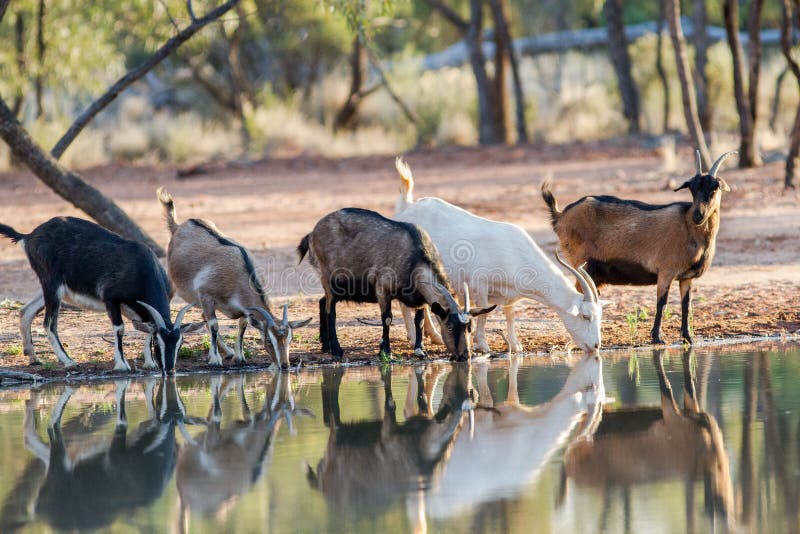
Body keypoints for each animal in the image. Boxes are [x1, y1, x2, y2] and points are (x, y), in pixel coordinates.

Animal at [0, 217, 202, 373]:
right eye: (158, 343)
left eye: (180, 342)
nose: (169, 370)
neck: (140, 267)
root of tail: (29, 236)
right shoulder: (111, 299)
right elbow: (120, 328)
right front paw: (122, 365)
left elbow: (144, 327)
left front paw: (149, 363)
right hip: (53, 287)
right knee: (49, 323)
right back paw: (69, 362)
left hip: (50, 289)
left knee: (25, 311)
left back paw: (33, 358)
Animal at [158, 188, 311, 369]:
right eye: (268, 339)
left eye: (290, 339)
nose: (285, 365)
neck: (238, 275)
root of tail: (177, 227)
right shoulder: (206, 295)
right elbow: (214, 325)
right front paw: (215, 359)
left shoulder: (242, 309)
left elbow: (242, 325)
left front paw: (239, 356)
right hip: (173, 286)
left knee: (202, 316)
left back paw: (229, 352)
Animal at [297, 208, 495, 361]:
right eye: (450, 327)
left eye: (469, 328)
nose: (465, 356)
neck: (415, 259)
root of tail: (312, 233)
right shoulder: (382, 289)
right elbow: (387, 318)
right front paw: (385, 350)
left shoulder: (420, 298)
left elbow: (419, 321)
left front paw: (419, 350)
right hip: (328, 277)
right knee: (331, 311)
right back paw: (337, 350)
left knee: (322, 302)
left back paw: (326, 345)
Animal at [393, 158, 605, 354]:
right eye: (585, 316)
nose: (596, 346)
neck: (515, 252)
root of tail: (406, 208)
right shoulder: (480, 284)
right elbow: (484, 313)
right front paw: (482, 345)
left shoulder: (510, 294)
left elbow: (510, 315)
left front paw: (515, 345)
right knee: (405, 303)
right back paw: (412, 338)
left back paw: (434, 336)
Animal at [542, 150, 735, 345]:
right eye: (692, 189)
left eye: (714, 188)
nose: (698, 215)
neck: (688, 226)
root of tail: (560, 215)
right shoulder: (666, 272)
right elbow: (662, 304)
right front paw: (657, 337)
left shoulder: (686, 278)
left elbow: (686, 306)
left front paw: (688, 338)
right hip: (581, 263)